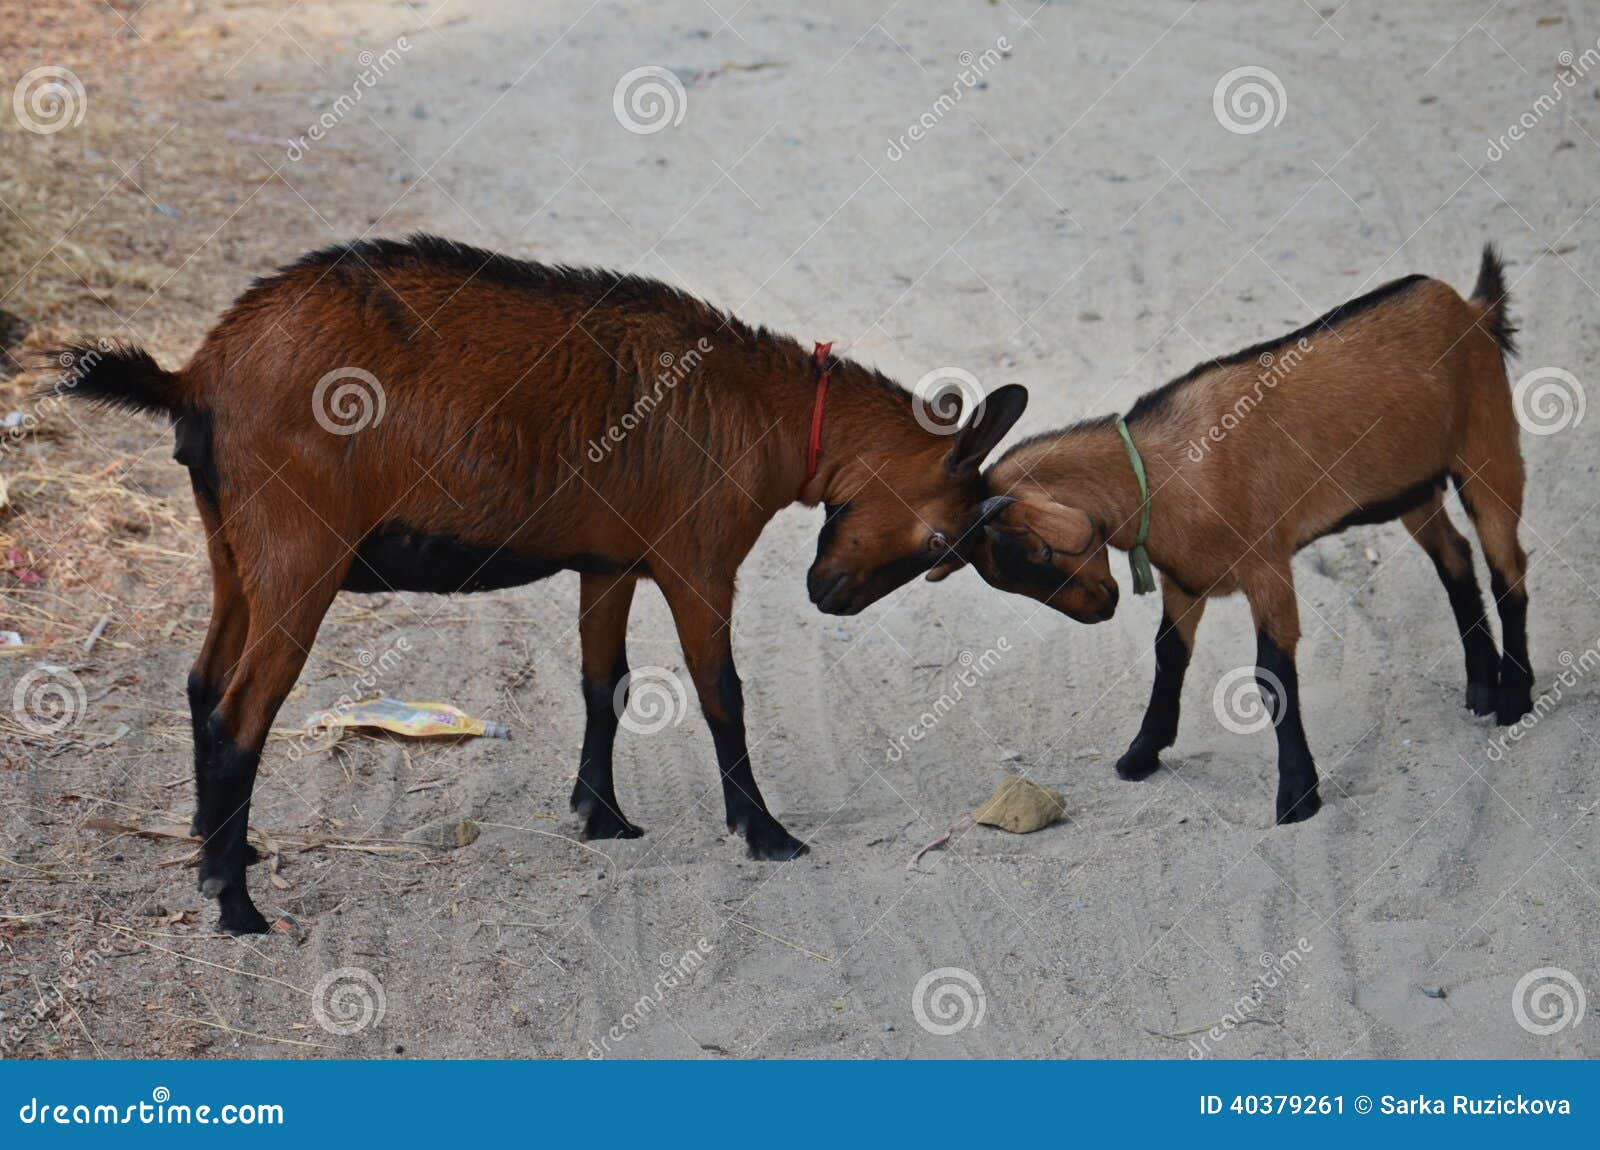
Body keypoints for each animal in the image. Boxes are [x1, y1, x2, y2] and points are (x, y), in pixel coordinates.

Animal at [52, 234, 1028, 933]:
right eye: (942, 536)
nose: (830, 597)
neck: (764, 410)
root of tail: (200, 373)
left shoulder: (612, 562)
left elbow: (607, 685)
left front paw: (601, 816)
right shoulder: (697, 559)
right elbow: (722, 693)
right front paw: (766, 833)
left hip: (232, 547)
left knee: (201, 683)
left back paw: (224, 852)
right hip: (300, 551)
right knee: (238, 713)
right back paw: (235, 903)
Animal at [952, 245, 1529, 824]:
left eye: (1040, 551)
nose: (1102, 609)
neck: (1159, 471)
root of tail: (1472, 309)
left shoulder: (1266, 566)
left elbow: (1270, 672)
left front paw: (1297, 793)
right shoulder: (1186, 579)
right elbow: (1168, 653)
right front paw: (1141, 753)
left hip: (1488, 447)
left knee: (1508, 568)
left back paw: (1514, 699)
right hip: (1413, 488)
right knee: (1455, 556)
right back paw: (1481, 685)